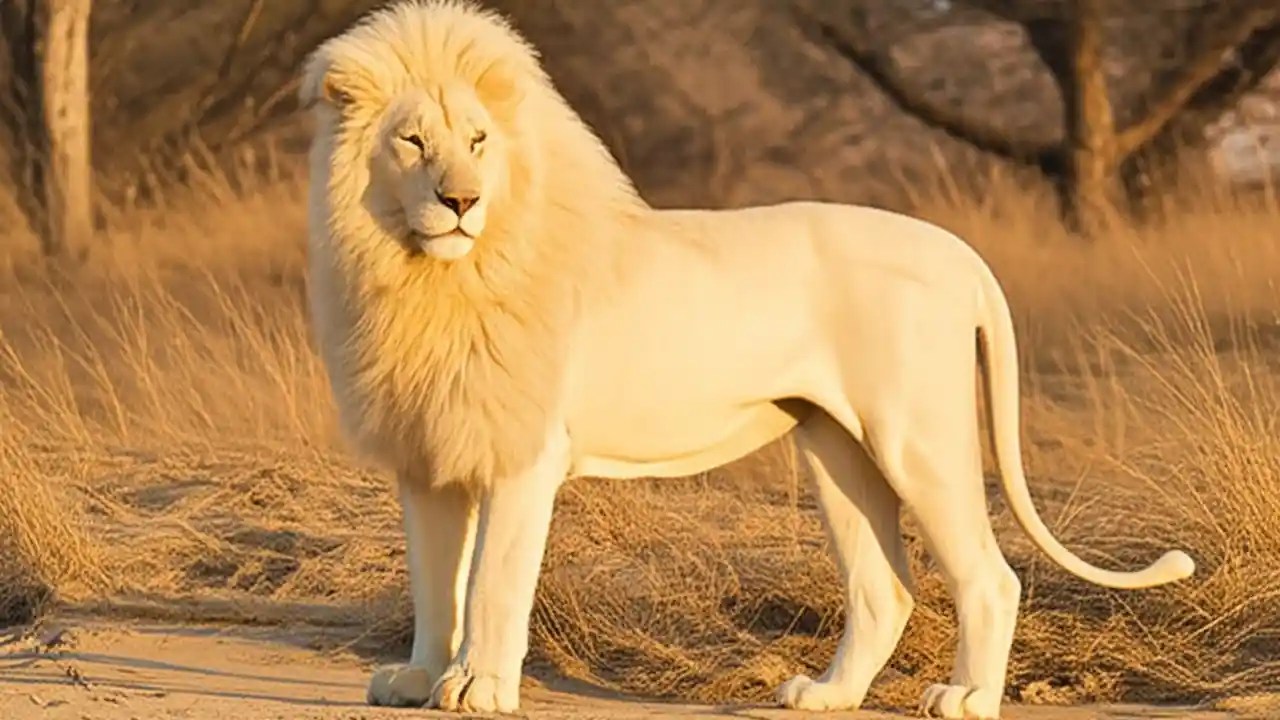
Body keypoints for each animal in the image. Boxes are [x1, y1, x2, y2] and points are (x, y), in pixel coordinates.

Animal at [298, 2, 1197, 718]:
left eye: (480, 141)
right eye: (413, 141)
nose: (461, 201)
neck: (431, 275)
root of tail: (959, 252)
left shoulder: (523, 451)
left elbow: (491, 582)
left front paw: (479, 687)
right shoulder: (431, 450)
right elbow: (434, 580)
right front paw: (419, 680)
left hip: (916, 435)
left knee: (989, 576)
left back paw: (967, 697)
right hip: (838, 448)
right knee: (884, 588)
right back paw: (826, 695)